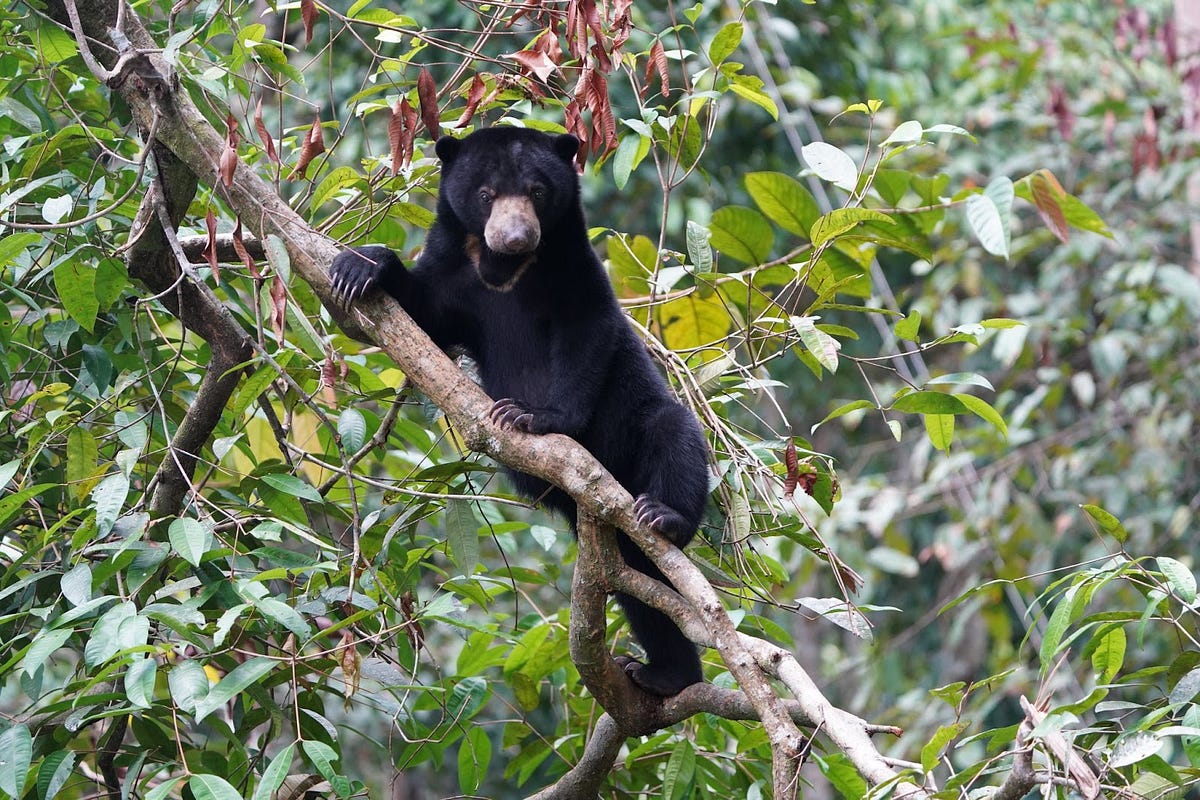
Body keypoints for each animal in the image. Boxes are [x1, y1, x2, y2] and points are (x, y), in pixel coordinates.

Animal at [329, 126, 709, 697]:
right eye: (486, 194)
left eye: (536, 190)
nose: (516, 237)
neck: (504, 271)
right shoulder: (455, 276)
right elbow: (425, 315)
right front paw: (359, 267)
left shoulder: (574, 269)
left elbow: (586, 333)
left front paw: (533, 416)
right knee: (637, 575)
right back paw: (663, 672)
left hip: (635, 431)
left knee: (674, 433)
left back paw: (663, 519)